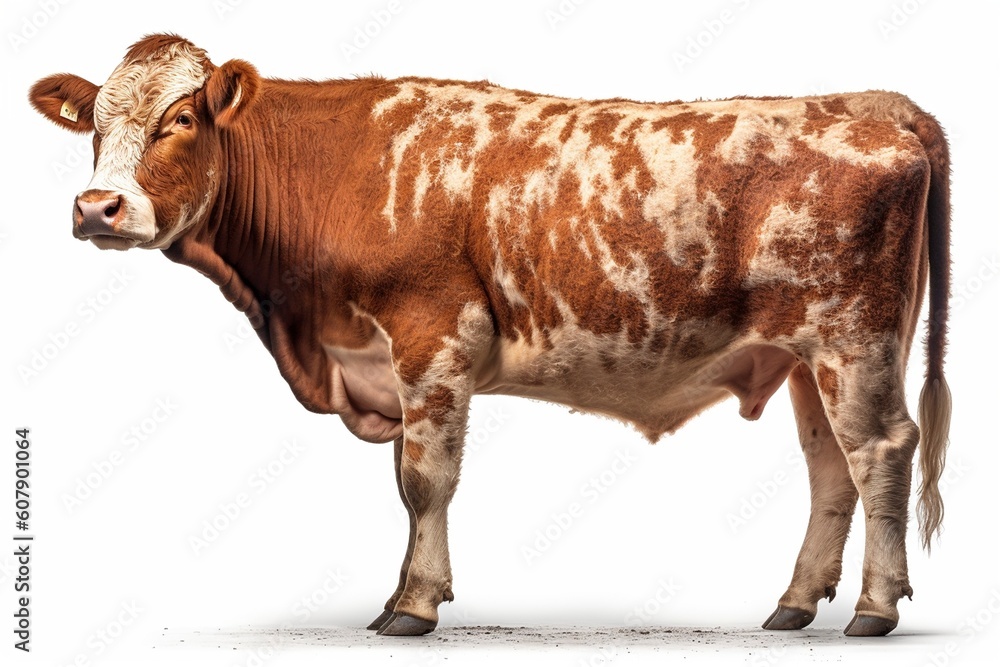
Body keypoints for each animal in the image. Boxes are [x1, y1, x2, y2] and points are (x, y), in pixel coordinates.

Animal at [29, 34, 951, 638]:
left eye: (180, 119)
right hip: (804, 355)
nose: (97, 208)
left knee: (880, 449)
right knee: (831, 468)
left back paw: (874, 608)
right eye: (93, 125)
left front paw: (412, 605)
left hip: (853, 340)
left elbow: (423, 481)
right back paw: (794, 604)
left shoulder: (433, 336)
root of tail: (874, 106)